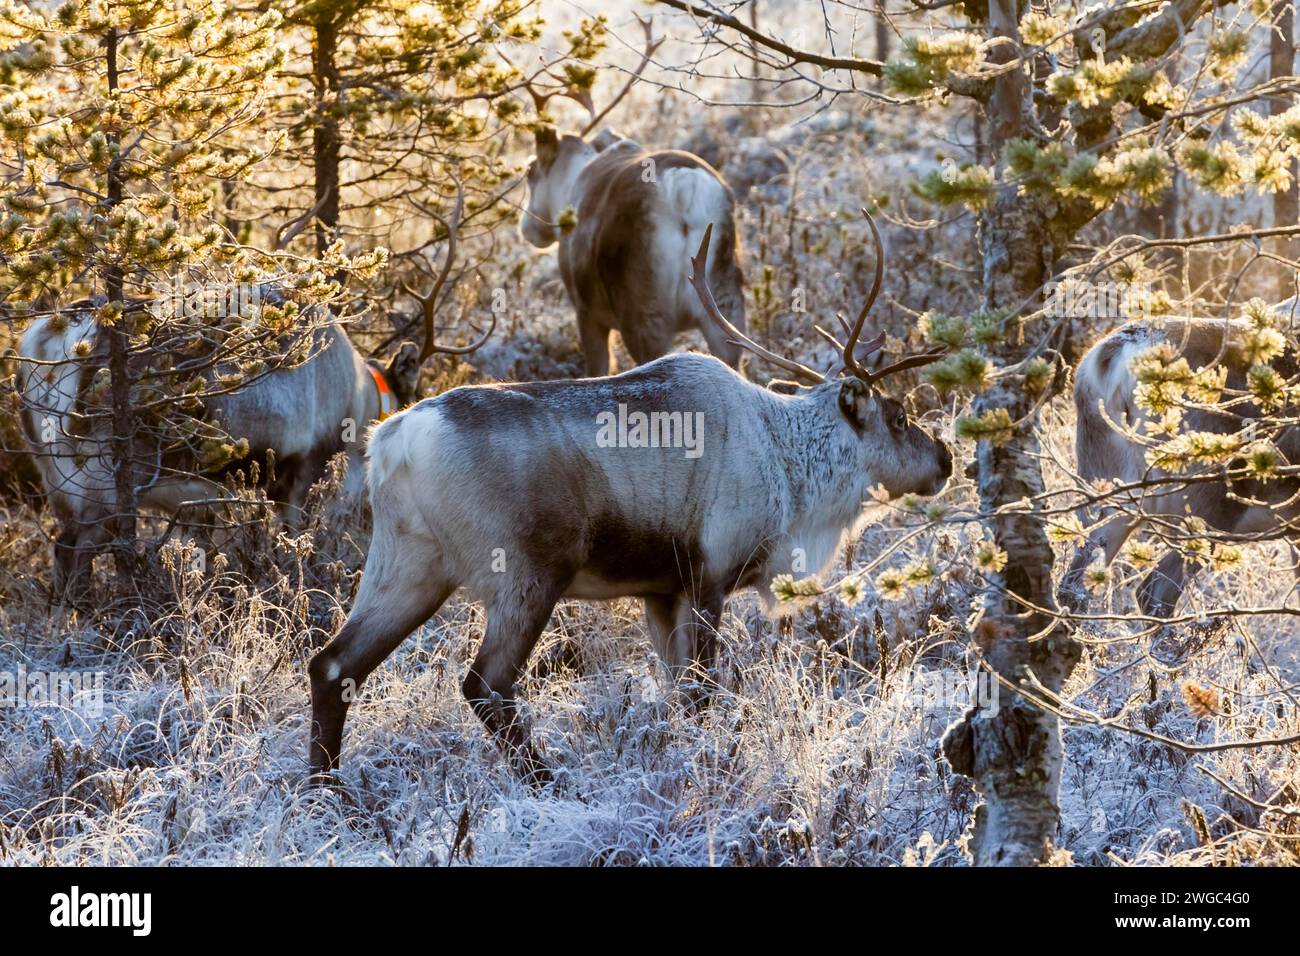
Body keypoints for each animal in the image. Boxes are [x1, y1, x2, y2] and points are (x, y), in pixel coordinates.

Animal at [17, 233, 492, 603]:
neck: (358, 402)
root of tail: (48, 338)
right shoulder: (303, 471)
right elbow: (297, 541)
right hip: (100, 478)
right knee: (73, 551)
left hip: (56, 477)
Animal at [308, 210, 953, 783]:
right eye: (898, 417)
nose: (946, 458)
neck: (787, 460)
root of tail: (391, 442)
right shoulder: (707, 577)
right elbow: (701, 692)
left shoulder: (659, 592)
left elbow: (677, 693)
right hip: (527, 574)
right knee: (484, 684)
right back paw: (550, 782)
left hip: (409, 565)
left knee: (333, 665)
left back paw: (328, 795)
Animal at [516, 18, 747, 376]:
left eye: (529, 171)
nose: (526, 228)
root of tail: (683, 188)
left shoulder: (587, 312)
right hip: (725, 305)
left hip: (643, 313)